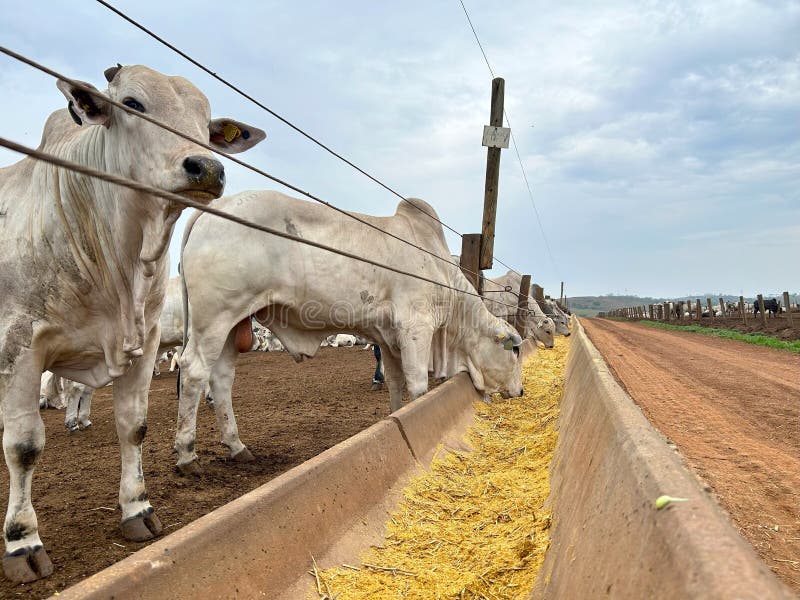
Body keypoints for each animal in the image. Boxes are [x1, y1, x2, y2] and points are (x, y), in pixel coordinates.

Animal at [0, 64, 264, 583]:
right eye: (133, 104)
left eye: (207, 126)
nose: (207, 168)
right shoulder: (20, 346)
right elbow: (23, 445)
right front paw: (23, 542)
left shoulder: (146, 344)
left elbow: (134, 427)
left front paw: (137, 508)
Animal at [174, 193, 524, 474]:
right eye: (516, 350)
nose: (520, 392)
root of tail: (214, 207)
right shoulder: (416, 328)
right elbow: (417, 386)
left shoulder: (388, 339)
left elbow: (395, 384)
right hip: (215, 317)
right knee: (194, 370)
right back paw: (187, 456)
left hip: (232, 325)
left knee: (221, 378)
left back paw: (237, 446)